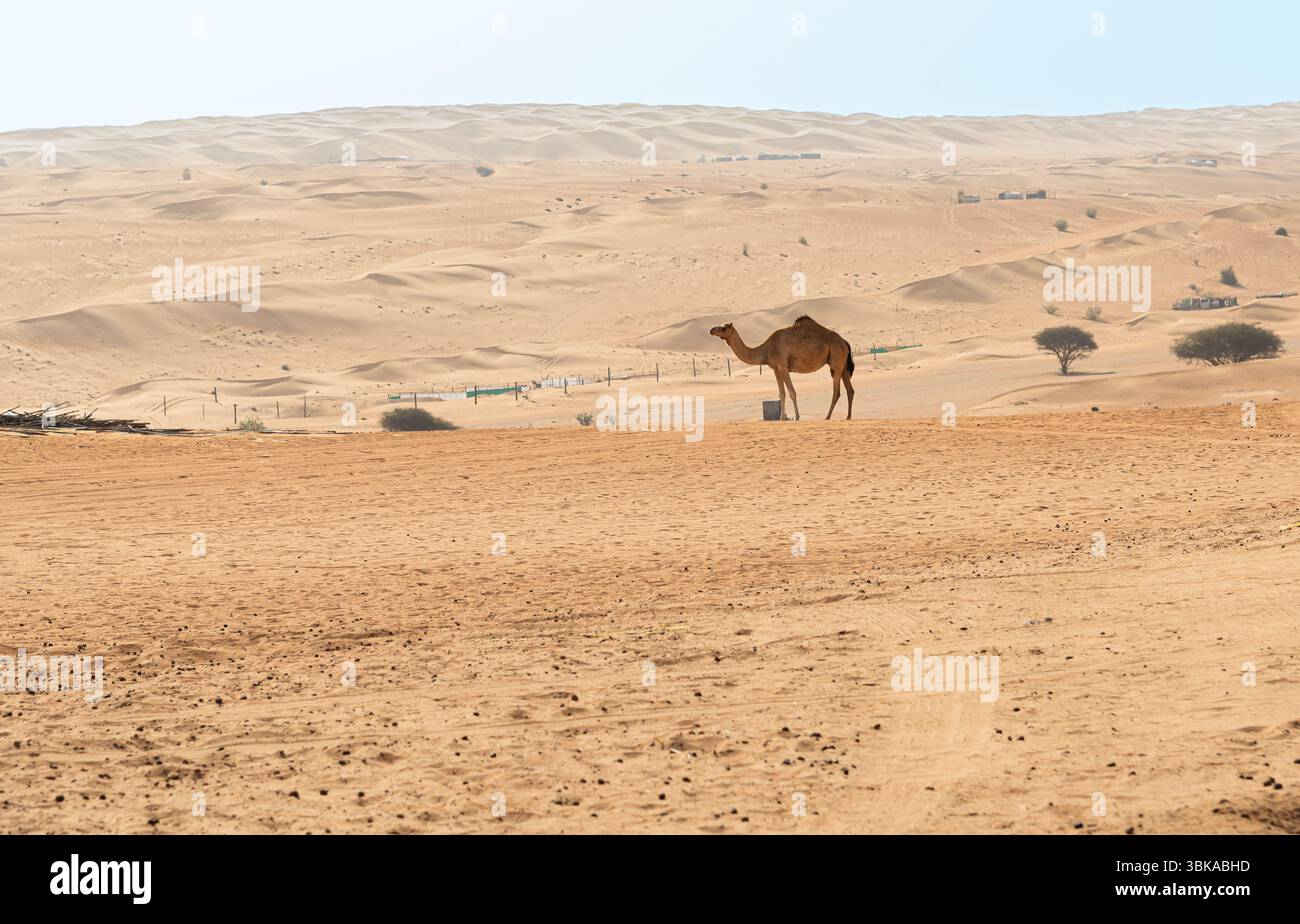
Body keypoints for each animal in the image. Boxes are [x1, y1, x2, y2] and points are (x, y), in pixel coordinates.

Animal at [709, 315, 855, 420]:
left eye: (724, 328)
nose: (711, 330)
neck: (766, 349)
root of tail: (845, 342)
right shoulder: (775, 368)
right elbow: (782, 393)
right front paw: (781, 418)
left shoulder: (783, 367)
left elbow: (792, 392)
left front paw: (796, 417)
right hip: (843, 366)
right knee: (850, 390)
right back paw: (848, 417)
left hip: (836, 362)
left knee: (837, 392)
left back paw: (827, 417)